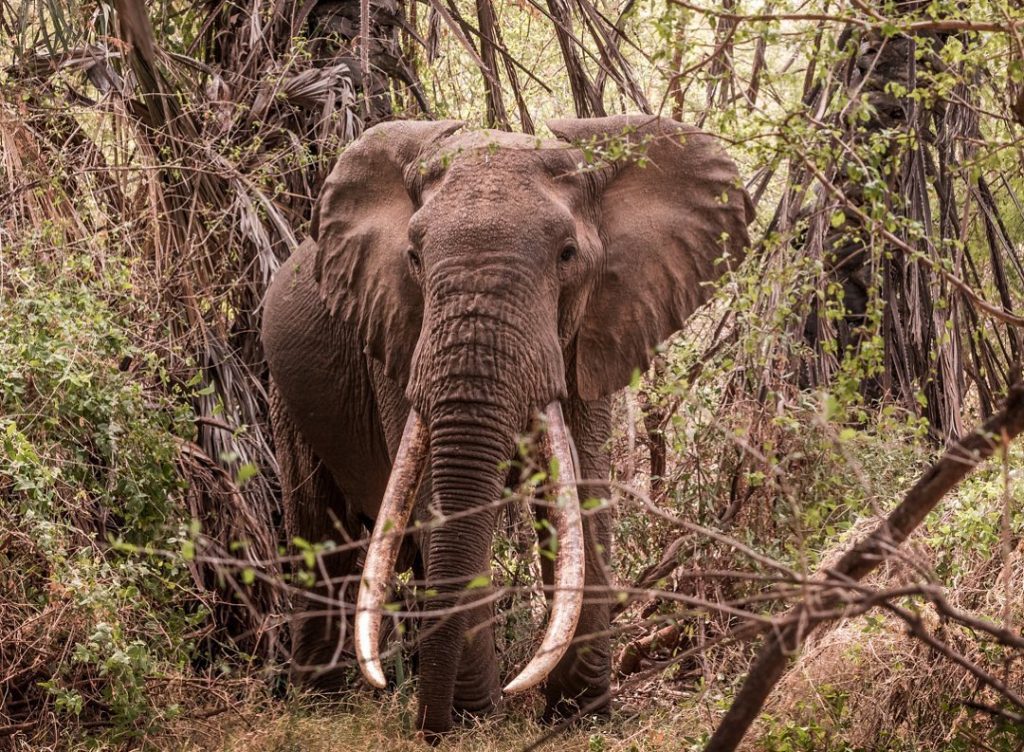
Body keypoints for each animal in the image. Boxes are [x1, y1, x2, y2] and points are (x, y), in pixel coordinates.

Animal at [261, 114, 752, 736]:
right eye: (414, 257)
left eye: (567, 254)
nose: (431, 728)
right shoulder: (395, 334)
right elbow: (433, 501)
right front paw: (476, 718)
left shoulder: (589, 333)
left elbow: (580, 497)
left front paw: (578, 717)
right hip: (285, 391)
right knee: (320, 534)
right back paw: (321, 703)